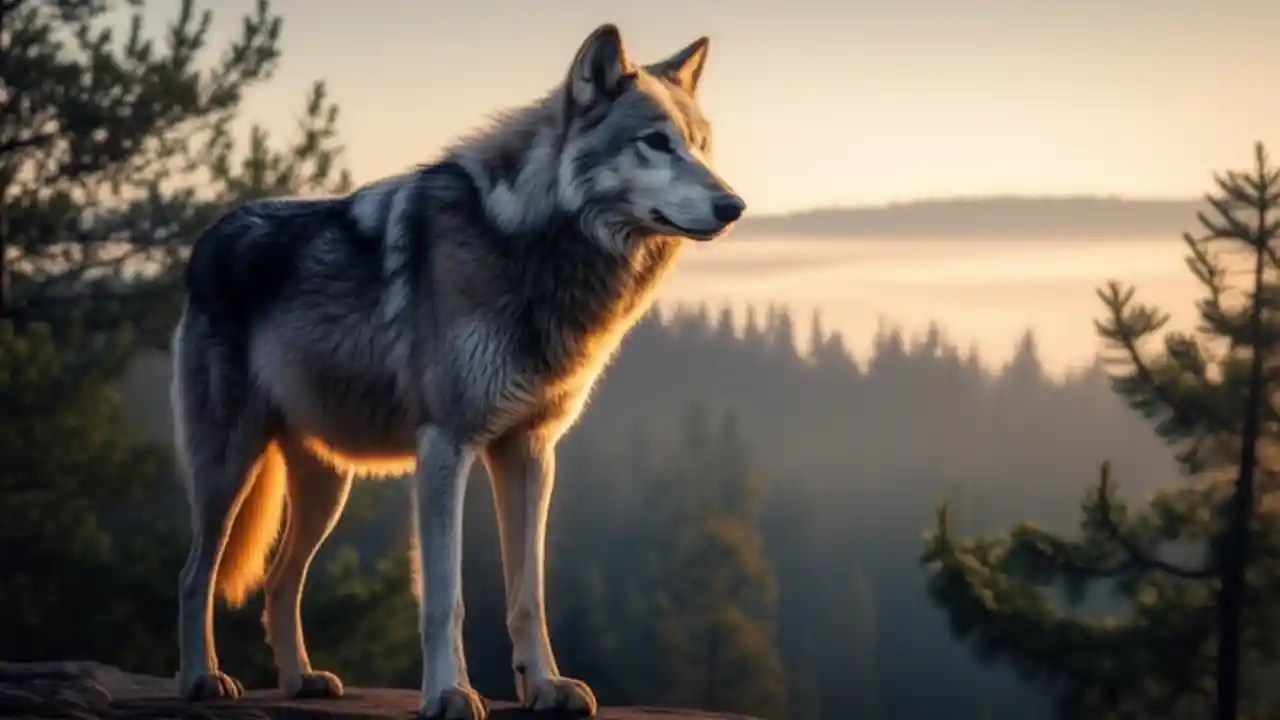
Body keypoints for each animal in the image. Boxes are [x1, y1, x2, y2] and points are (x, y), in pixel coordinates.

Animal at [171, 23, 743, 719]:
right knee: (194, 573)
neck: (532, 247)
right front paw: (448, 692)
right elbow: (446, 598)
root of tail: (210, 236)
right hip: (229, 467)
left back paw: (299, 679)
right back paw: (202, 678)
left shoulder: (530, 451)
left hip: (328, 488)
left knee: (282, 581)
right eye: (656, 142)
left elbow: (528, 595)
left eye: (702, 145)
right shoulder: (446, 447)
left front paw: (545, 686)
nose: (733, 205)